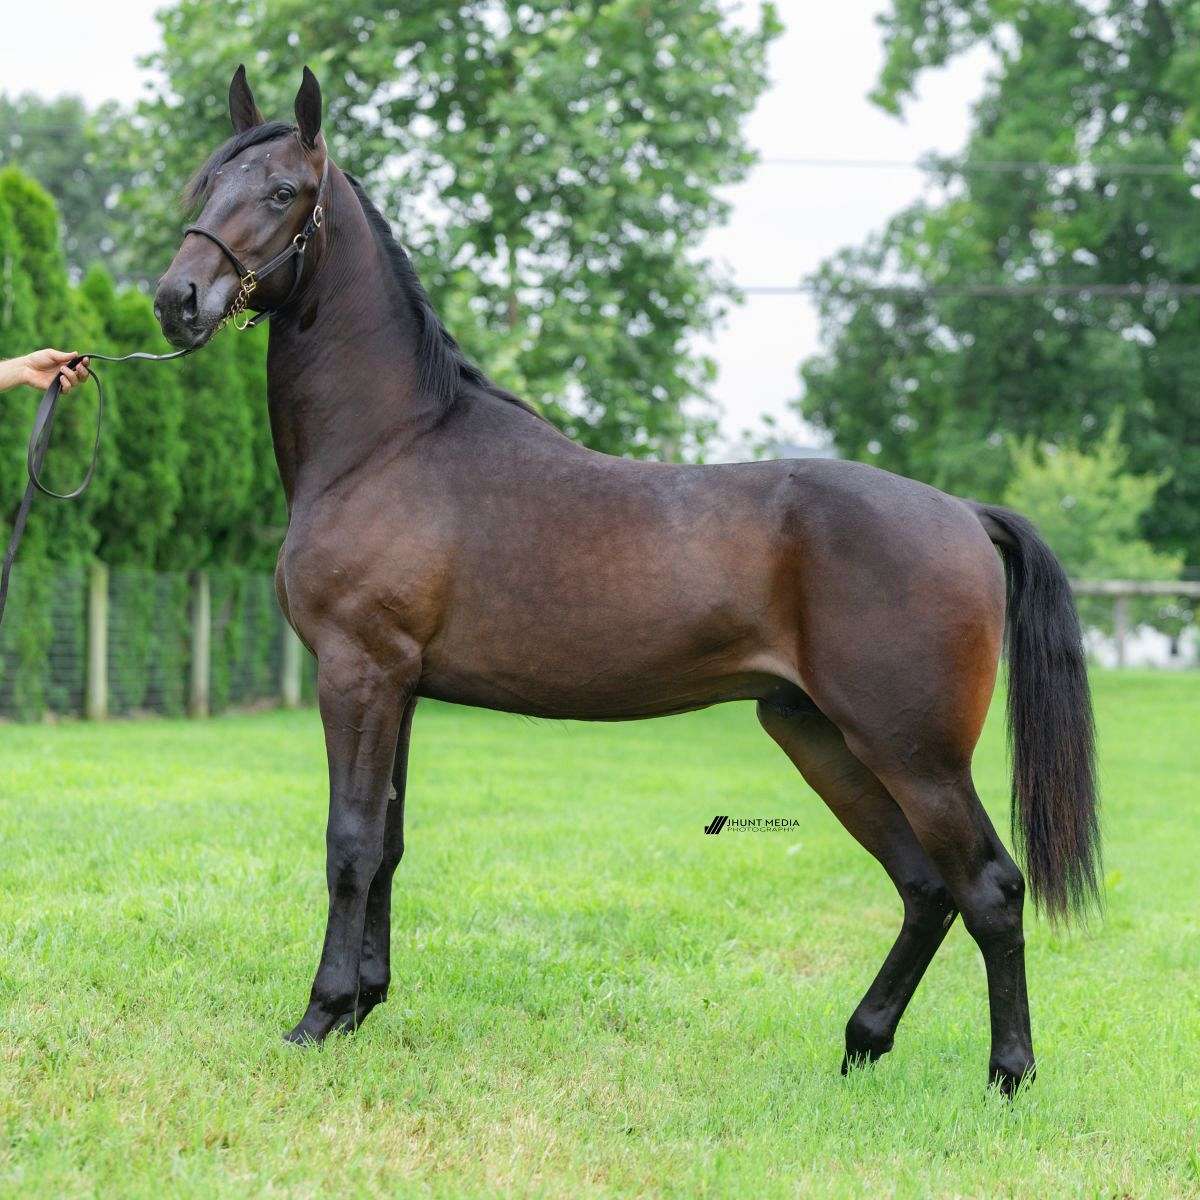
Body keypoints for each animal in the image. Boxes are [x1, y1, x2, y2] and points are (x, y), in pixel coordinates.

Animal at [152, 66, 1100, 1093]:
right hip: (820, 735)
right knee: (927, 888)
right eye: (208, 183)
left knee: (990, 888)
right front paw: (366, 1004)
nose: (178, 299)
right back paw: (863, 1042)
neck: (389, 444)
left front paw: (321, 1016)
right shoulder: (395, 687)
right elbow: (390, 845)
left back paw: (1008, 1075)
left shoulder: (357, 673)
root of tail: (964, 513)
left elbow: (350, 844)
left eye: (283, 192)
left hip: (913, 751)